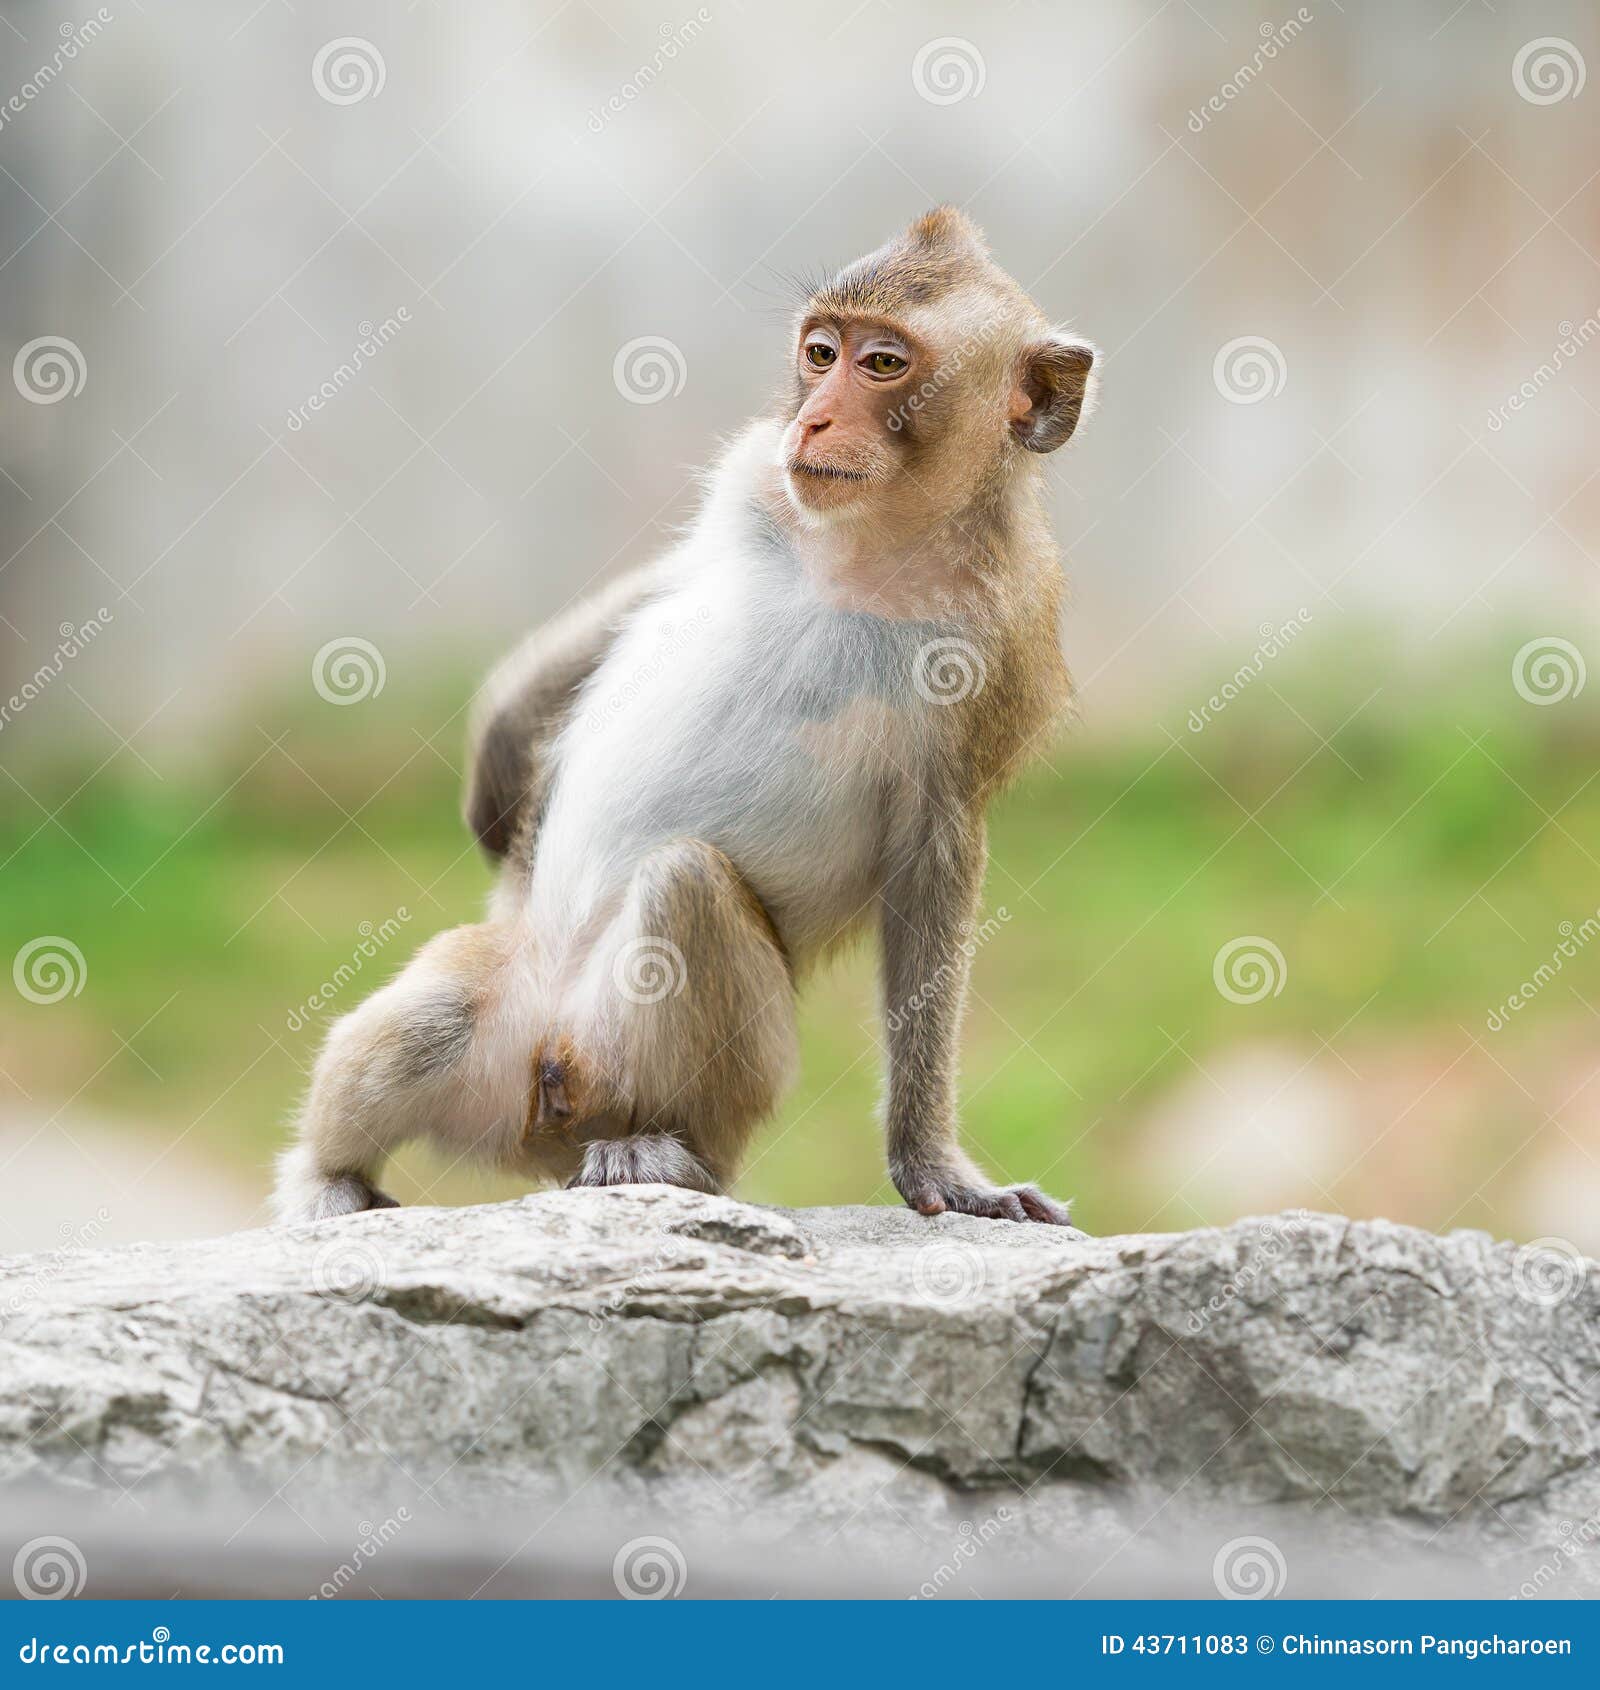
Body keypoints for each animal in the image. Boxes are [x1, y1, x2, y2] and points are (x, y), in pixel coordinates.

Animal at [274, 207, 1097, 1228]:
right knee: (432, 1016)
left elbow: (932, 871)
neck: (872, 543)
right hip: (499, 1005)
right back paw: (327, 1176)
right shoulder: (759, 473)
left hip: (723, 1082)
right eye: (820, 352)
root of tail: (551, 1109)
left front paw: (933, 1164)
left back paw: (665, 1153)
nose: (813, 418)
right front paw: (505, 752)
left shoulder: (998, 648)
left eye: (882, 365)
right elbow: (666, 580)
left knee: (687, 886)